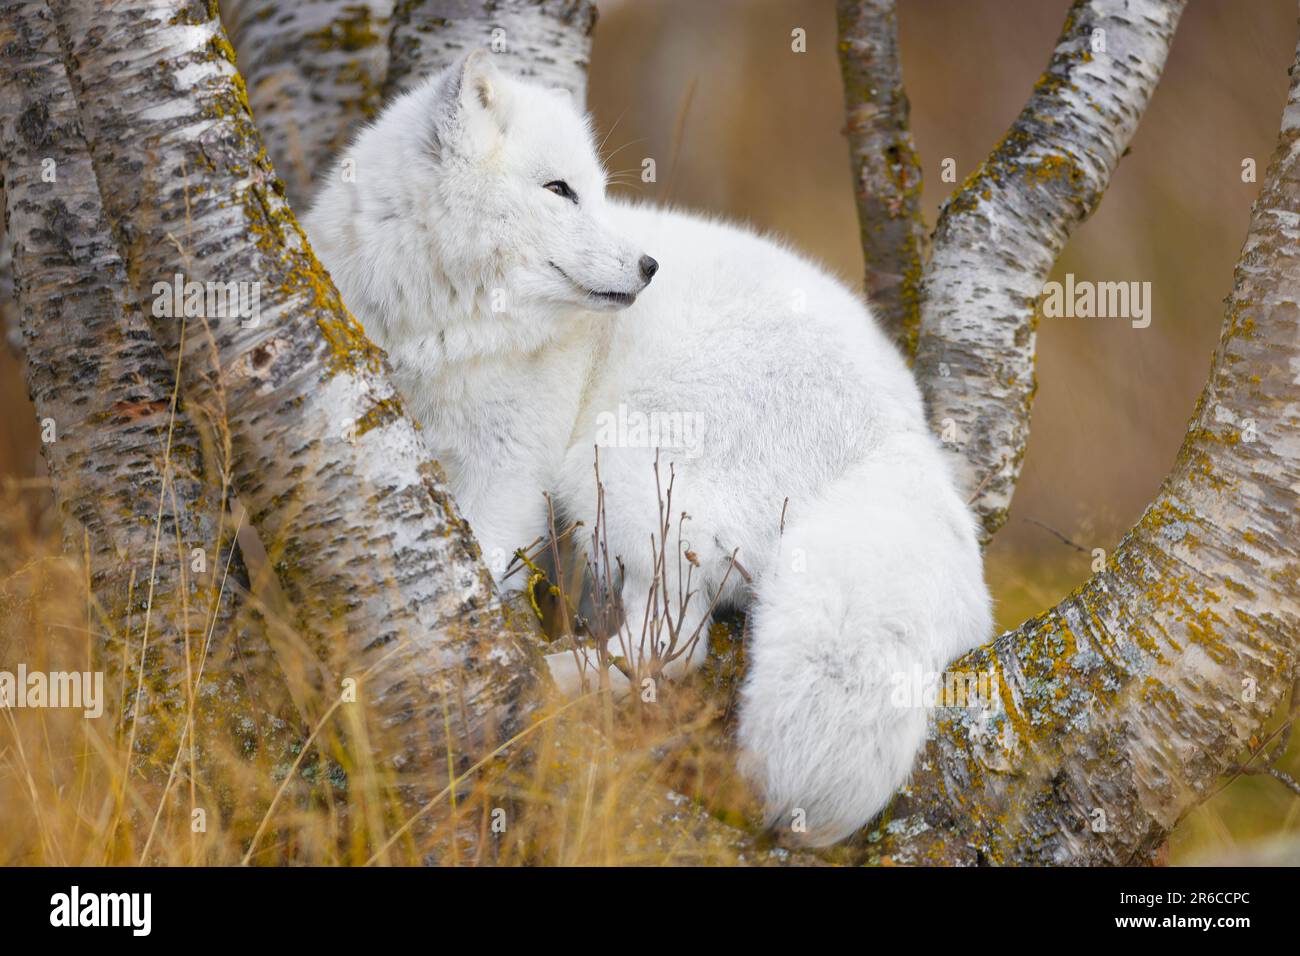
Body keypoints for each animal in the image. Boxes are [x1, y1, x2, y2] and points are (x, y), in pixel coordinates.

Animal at [304, 50, 993, 846]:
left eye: (598, 191)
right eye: (560, 189)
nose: (648, 267)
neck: (443, 325)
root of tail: (902, 437)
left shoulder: (511, 469)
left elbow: (478, 560)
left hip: (616, 473)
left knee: (671, 651)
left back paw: (554, 685)